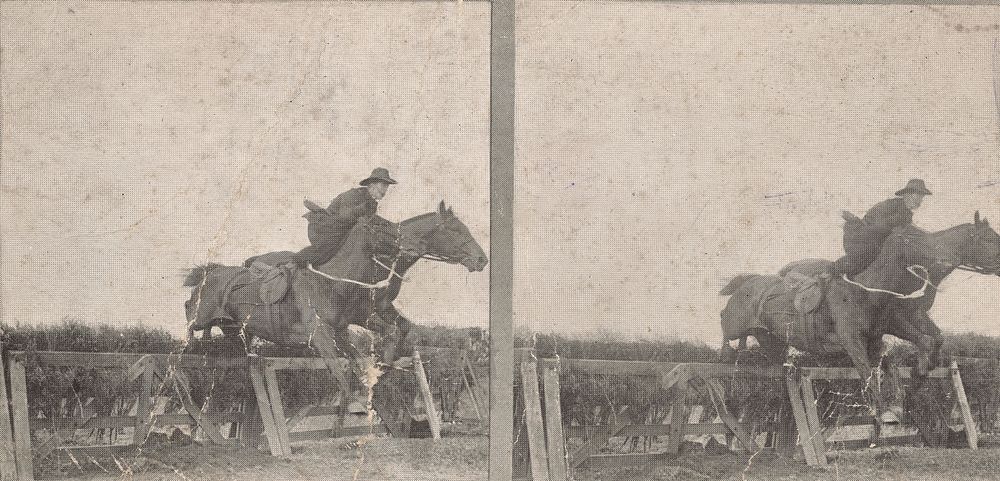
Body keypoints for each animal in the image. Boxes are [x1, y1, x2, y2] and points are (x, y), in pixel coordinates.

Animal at [187, 201, 488, 436]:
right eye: (457, 230)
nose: (482, 260)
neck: (335, 281)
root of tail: (211, 271)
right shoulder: (324, 335)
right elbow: (343, 372)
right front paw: (355, 410)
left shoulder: (351, 325)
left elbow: (380, 346)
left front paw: (379, 372)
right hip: (201, 316)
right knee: (189, 318)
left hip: (233, 328)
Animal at [720, 214, 1000, 408]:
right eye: (989, 239)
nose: (942, 261)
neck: (870, 289)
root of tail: (749, 280)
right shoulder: (862, 337)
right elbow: (873, 373)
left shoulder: (897, 323)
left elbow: (930, 340)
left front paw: (917, 378)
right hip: (735, 325)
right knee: (725, 329)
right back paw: (726, 369)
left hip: (772, 340)